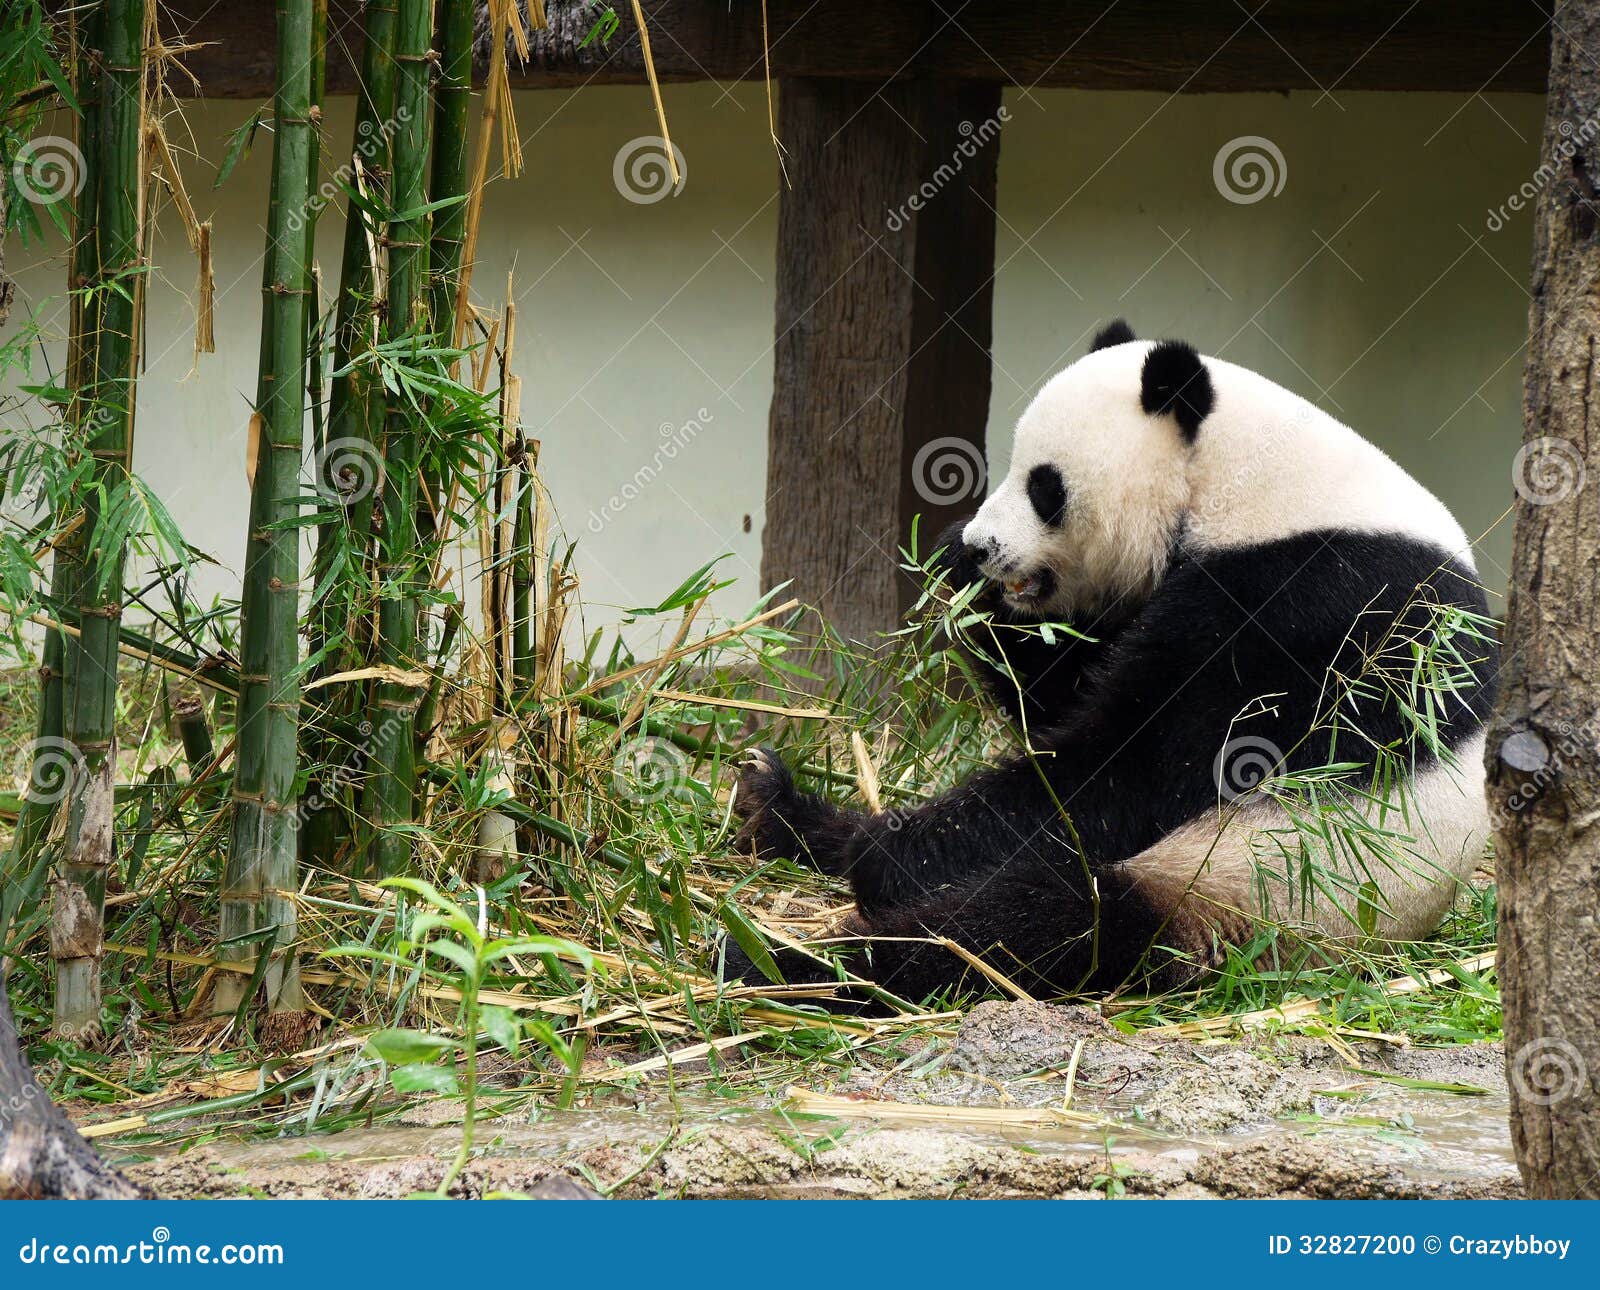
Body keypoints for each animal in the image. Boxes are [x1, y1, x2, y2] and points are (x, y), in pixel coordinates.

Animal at [726, 320, 1498, 1010]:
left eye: (1045, 485)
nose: (981, 545)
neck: (1253, 480)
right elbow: (1064, 698)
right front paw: (961, 576)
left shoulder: (1319, 606)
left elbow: (1139, 766)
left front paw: (892, 858)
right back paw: (778, 811)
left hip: (1252, 887)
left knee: (1033, 928)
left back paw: (791, 960)